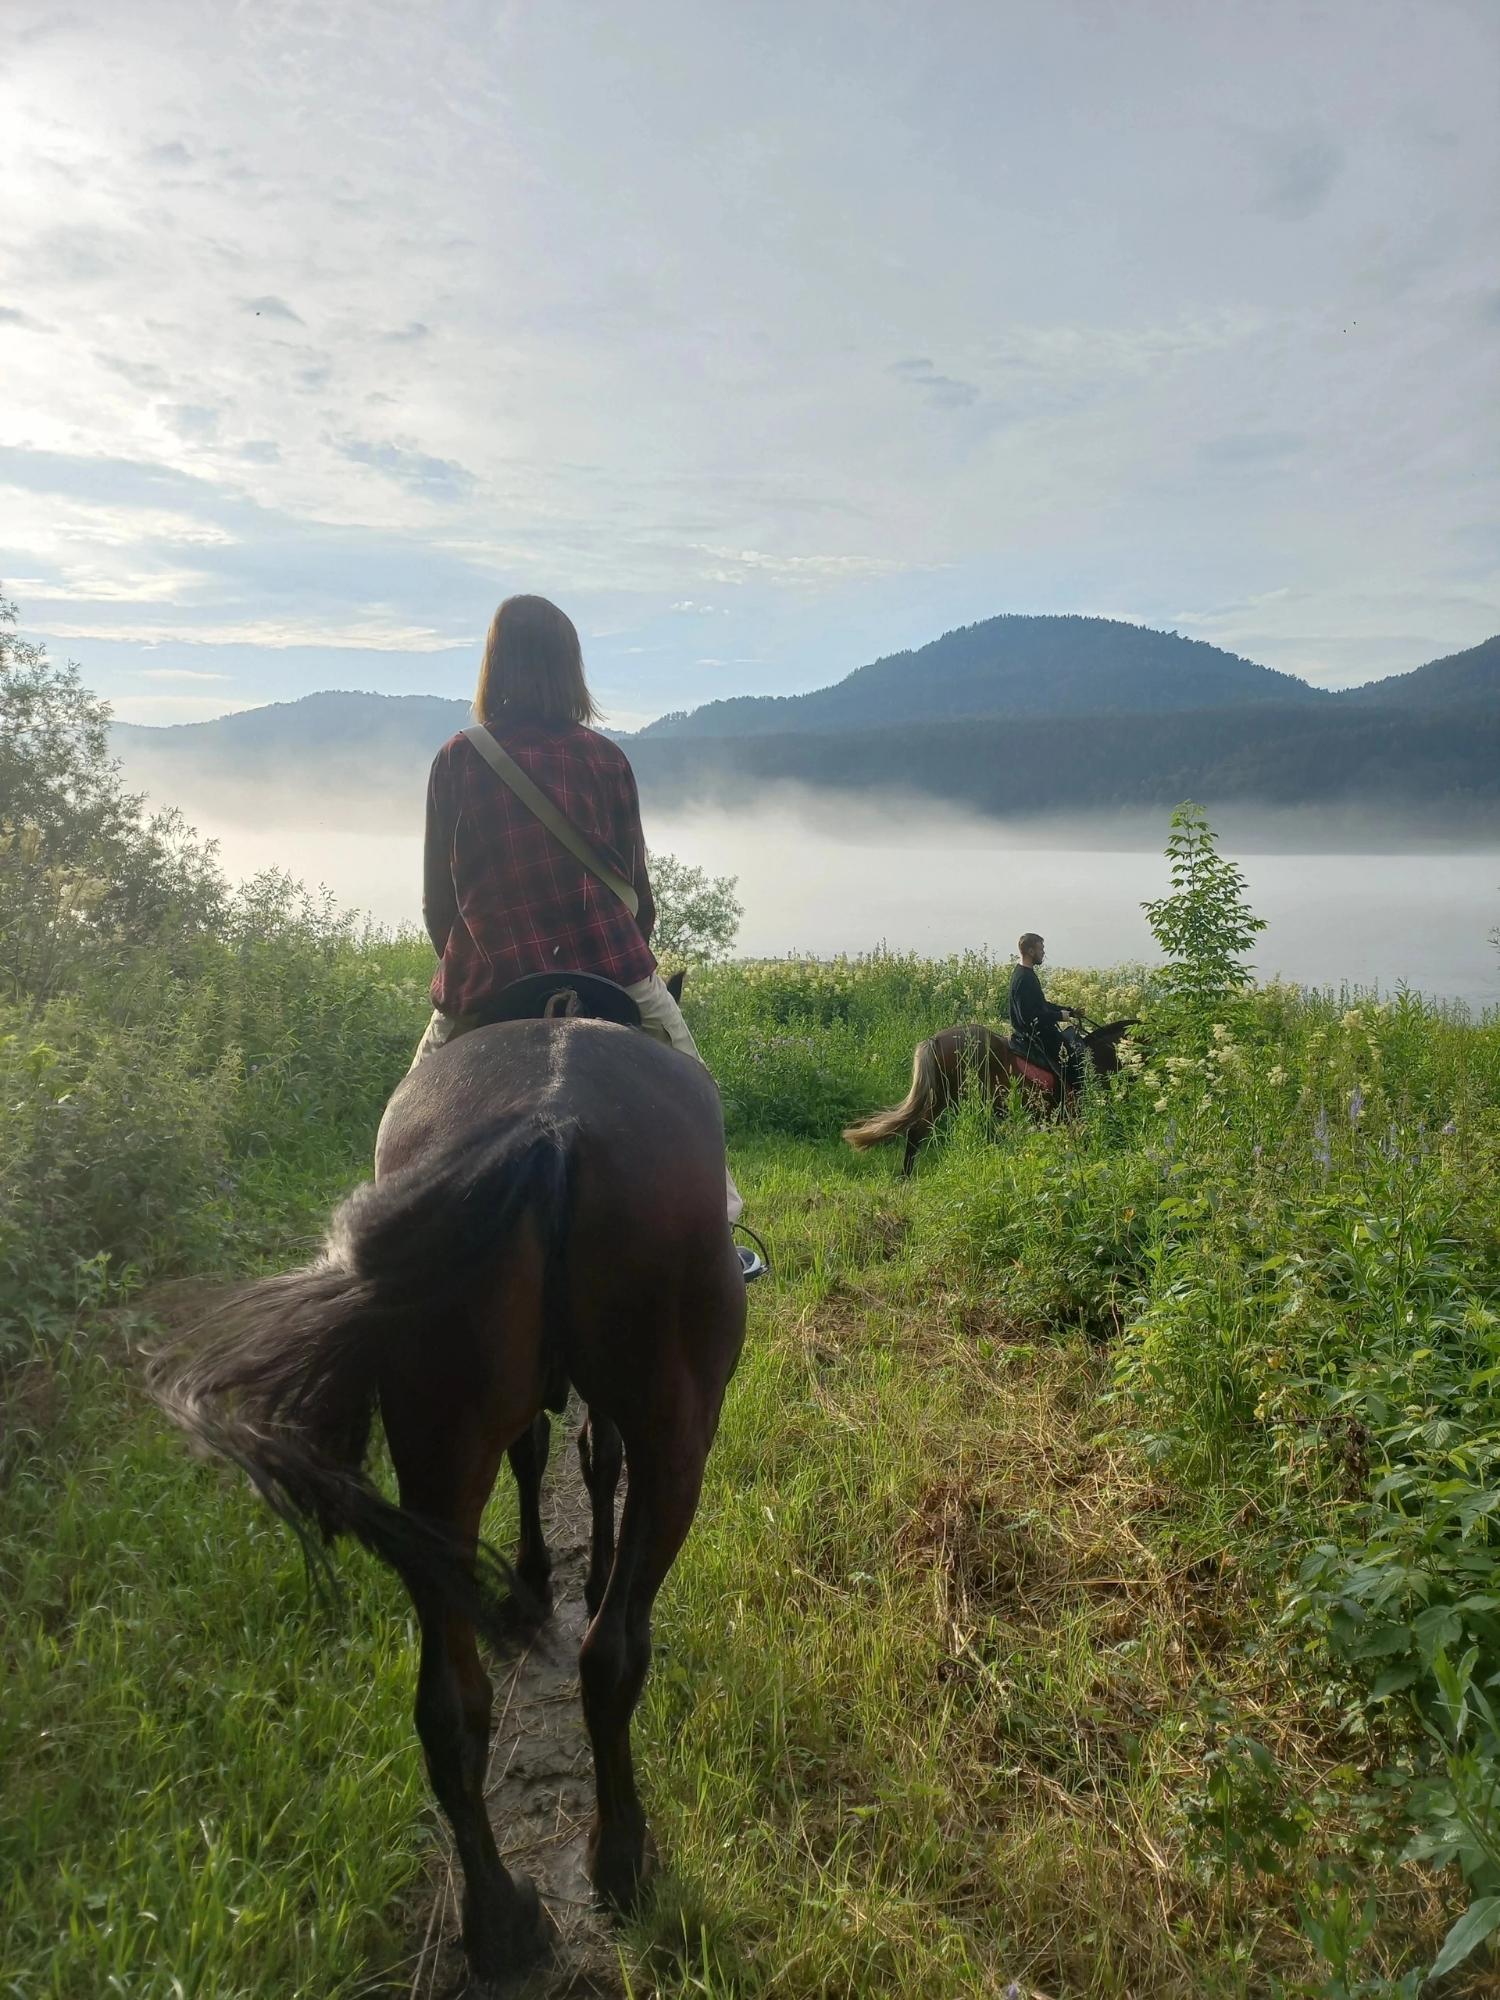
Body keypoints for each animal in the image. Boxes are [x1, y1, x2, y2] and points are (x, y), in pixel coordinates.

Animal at [150, 1016, 748, 1984]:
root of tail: (550, 1122)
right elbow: (588, 1459)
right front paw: (567, 1577)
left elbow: (542, 1454)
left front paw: (537, 1583)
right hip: (680, 1430)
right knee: (613, 1651)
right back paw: (619, 1863)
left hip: (436, 1445)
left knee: (447, 1706)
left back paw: (500, 1921)